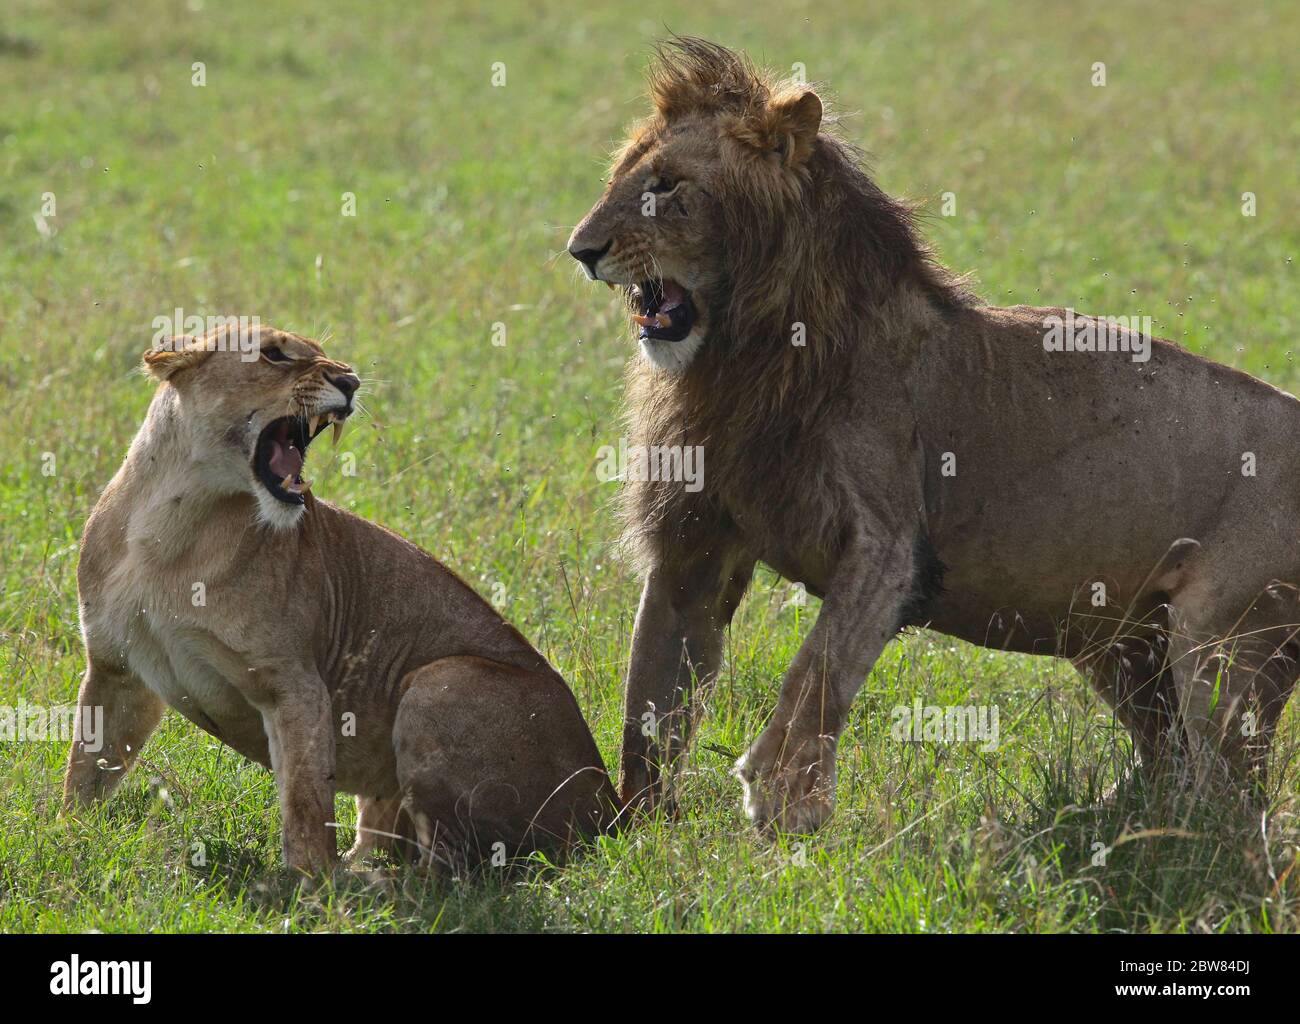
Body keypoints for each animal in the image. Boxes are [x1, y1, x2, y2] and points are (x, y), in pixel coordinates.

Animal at [63, 325, 617, 871]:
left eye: (325, 355)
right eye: (274, 355)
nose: (350, 381)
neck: (174, 523)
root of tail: (612, 803)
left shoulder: (296, 686)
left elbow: (306, 800)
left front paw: (308, 883)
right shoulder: (115, 669)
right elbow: (86, 768)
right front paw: (67, 839)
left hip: (439, 681)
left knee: (452, 866)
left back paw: (365, 883)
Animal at [568, 37, 1300, 833]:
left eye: (668, 186)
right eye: (621, 175)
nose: (581, 249)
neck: (739, 357)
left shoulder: (888, 546)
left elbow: (814, 675)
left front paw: (780, 803)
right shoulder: (690, 541)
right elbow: (650, 701)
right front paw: (634, 834)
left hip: (1221, 638)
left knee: (1231, 807)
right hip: (1119, 640)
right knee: (1173, 767)